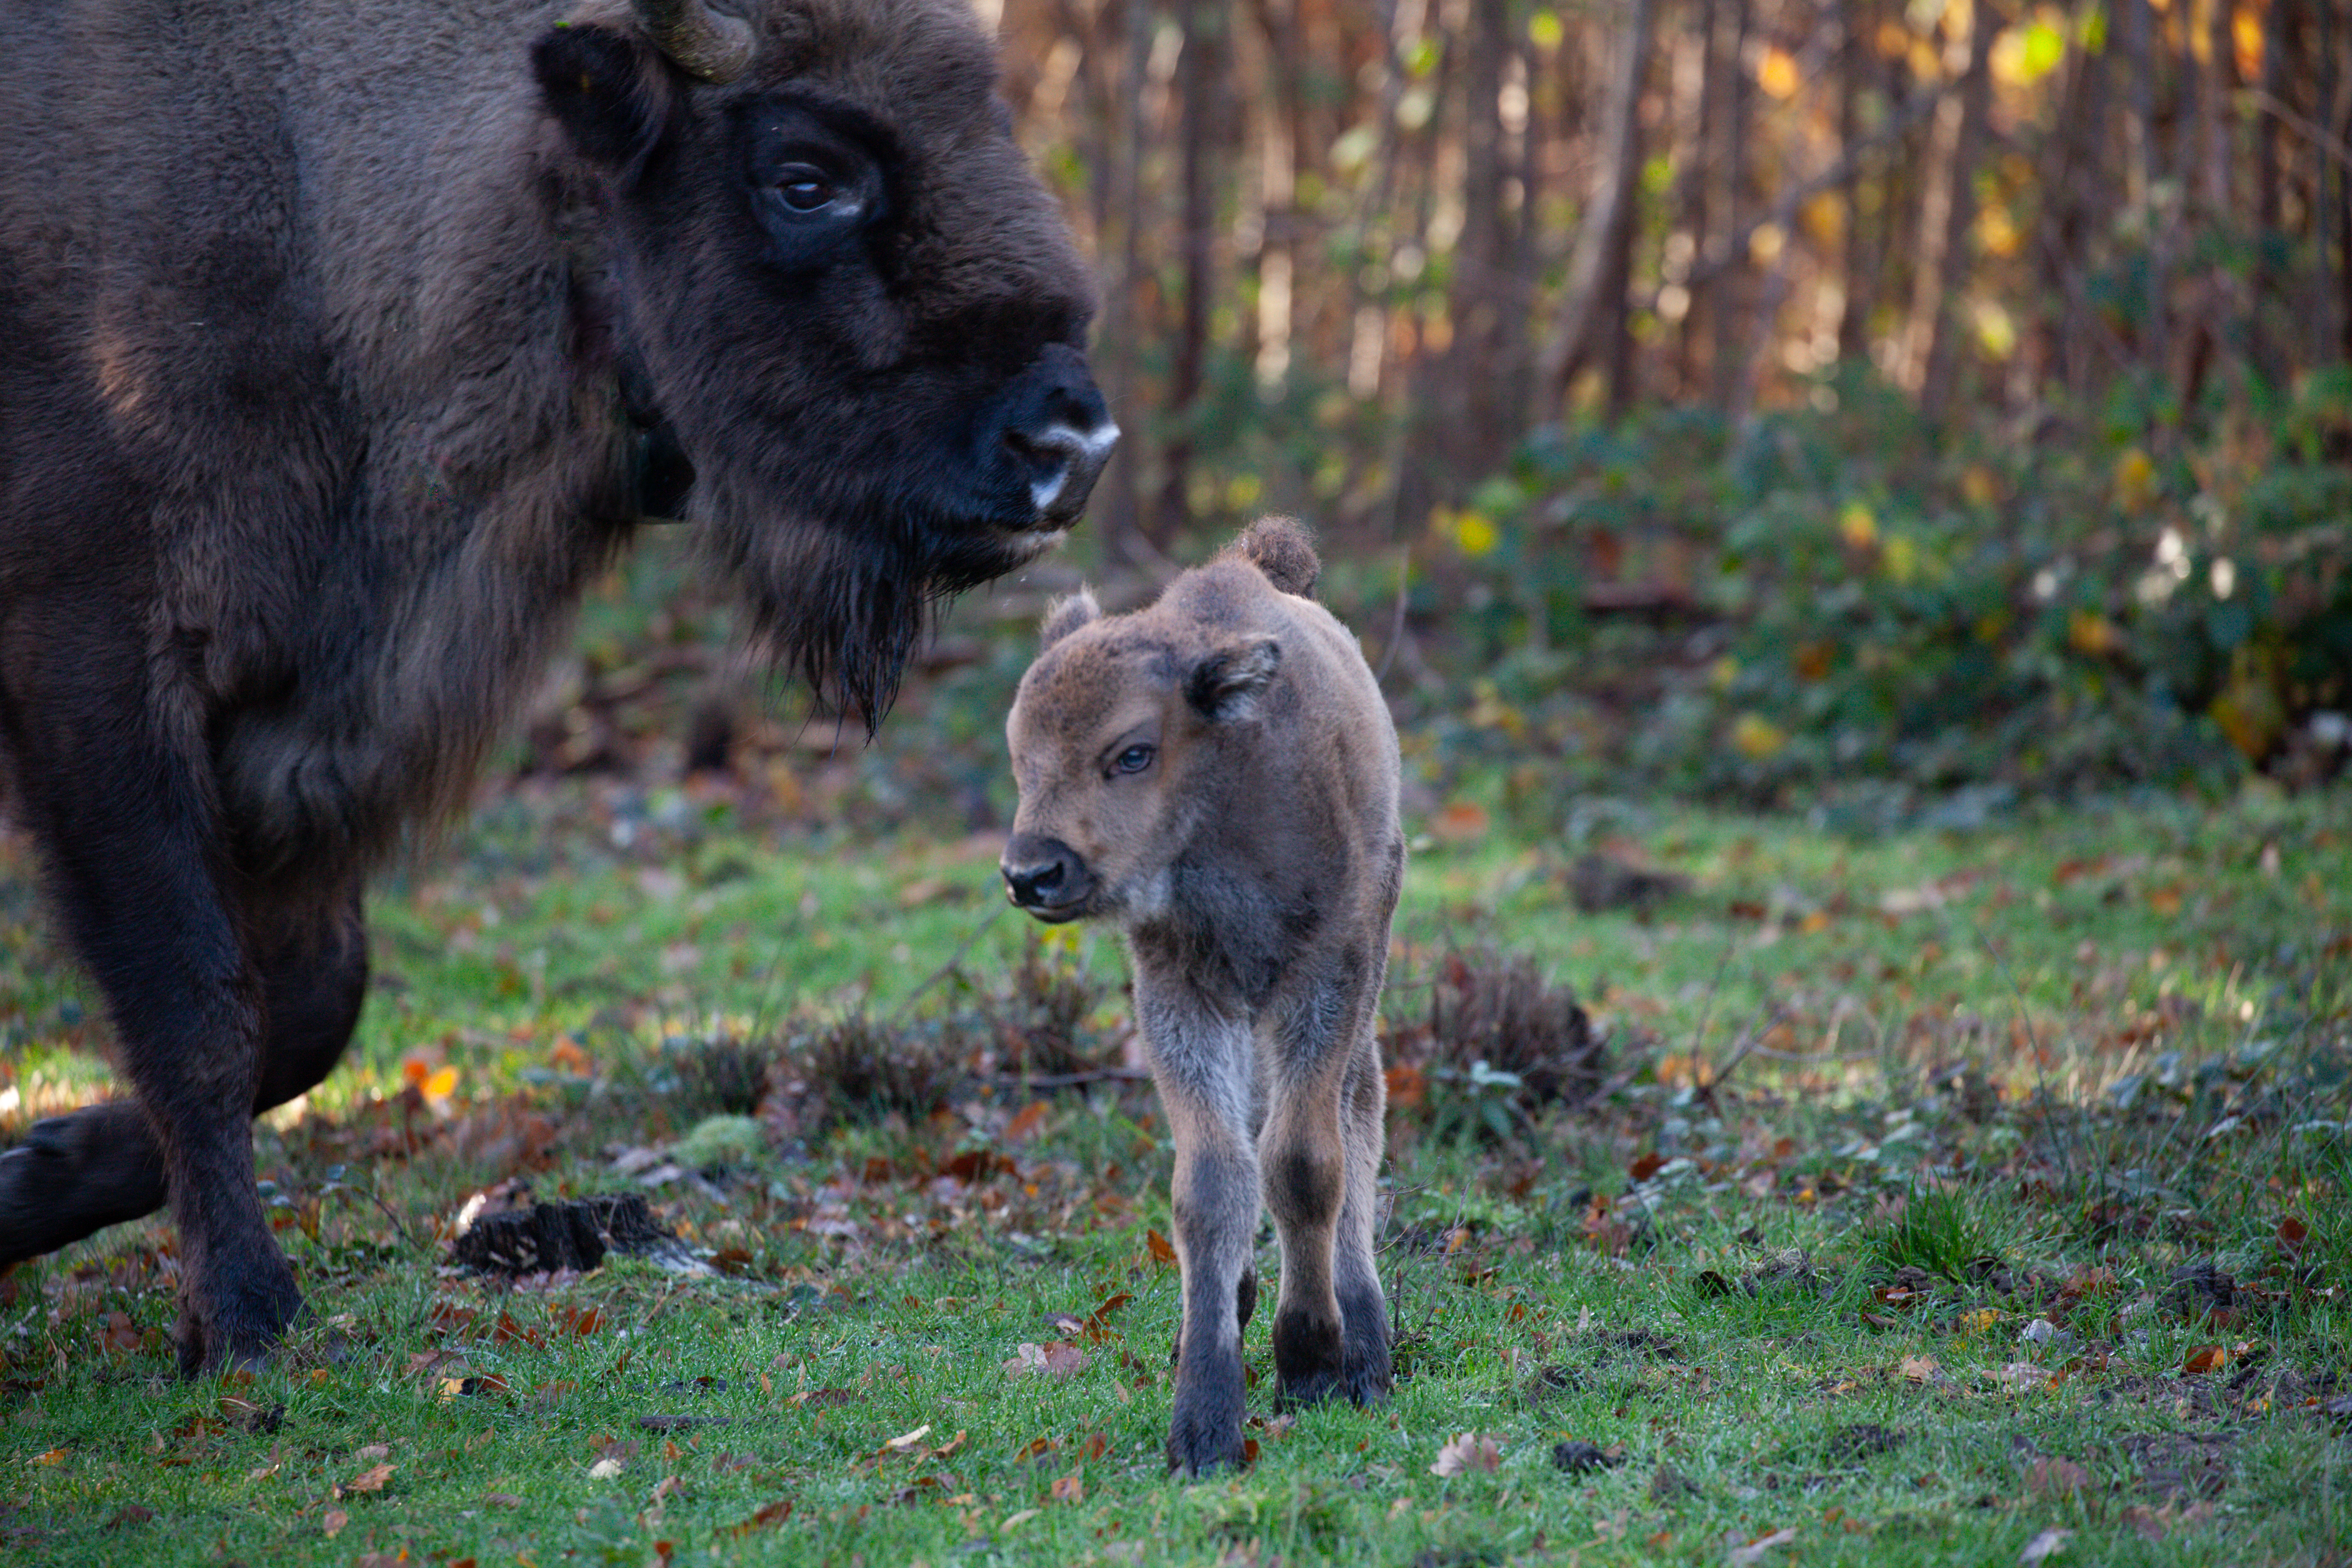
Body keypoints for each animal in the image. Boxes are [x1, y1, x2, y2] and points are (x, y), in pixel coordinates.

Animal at [0, 0, 1115, 1370]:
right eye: (805, 177)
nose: (1070, 440)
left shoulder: (292, 744)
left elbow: (307, 1009)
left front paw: (30, 1173)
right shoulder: (93, 665)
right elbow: (196, 1007)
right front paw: (245, 1317)